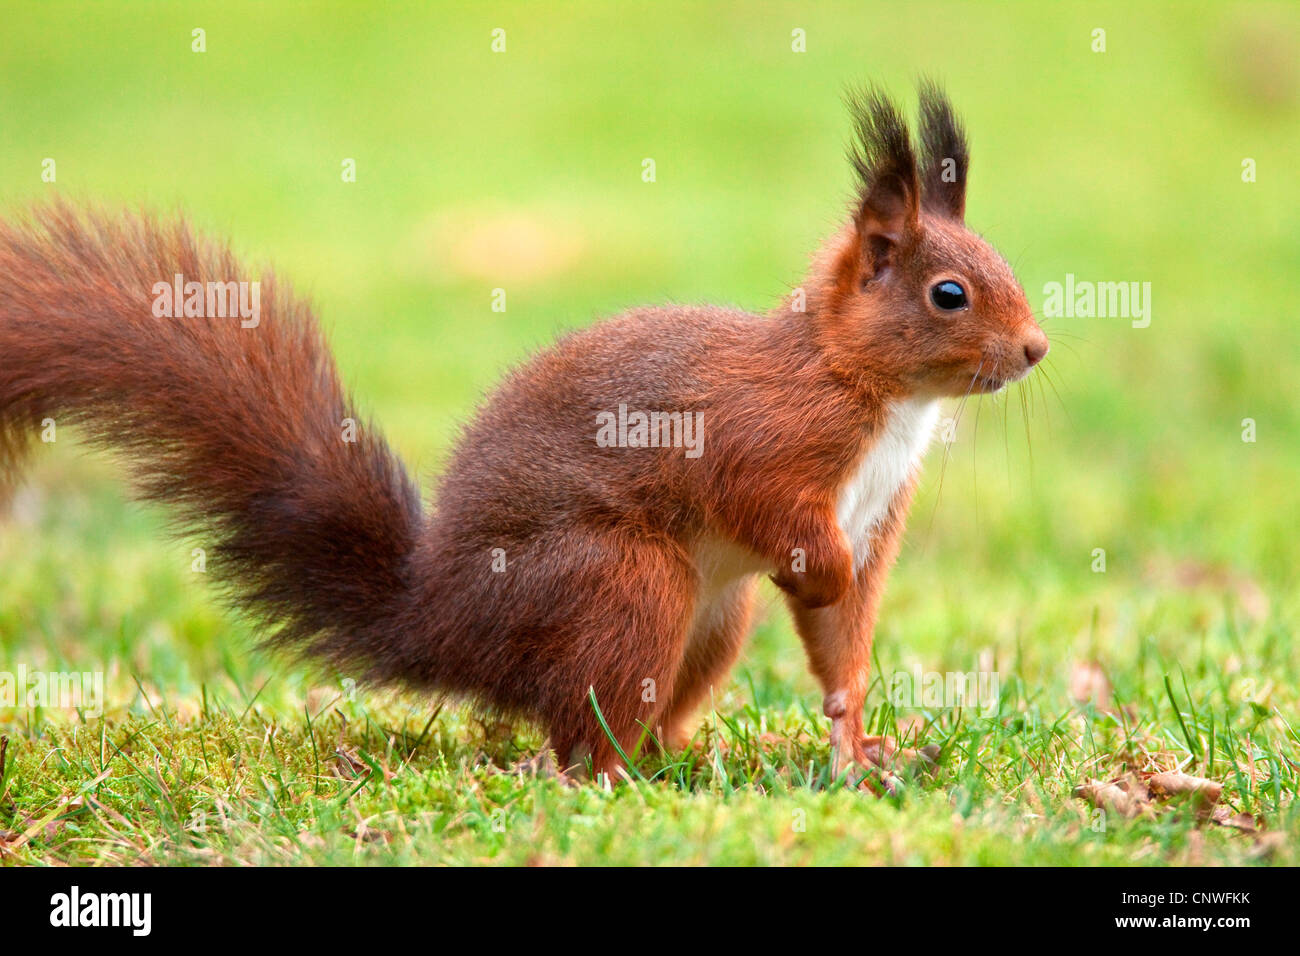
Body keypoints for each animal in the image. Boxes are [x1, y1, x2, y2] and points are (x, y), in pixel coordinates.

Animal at [0, 83, 1046, 785]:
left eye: (999, 263)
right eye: (949, 294)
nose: (1036, 348)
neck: (869, 388)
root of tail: (439, 623)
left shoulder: (873, 513)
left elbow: (841, 647)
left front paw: (858, 748)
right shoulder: (763, 441)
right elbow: (771, 516)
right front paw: (817, 581)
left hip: (714, 617)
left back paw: (682, 758)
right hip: (621, 580)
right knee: (579, 730)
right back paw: (618, 780)